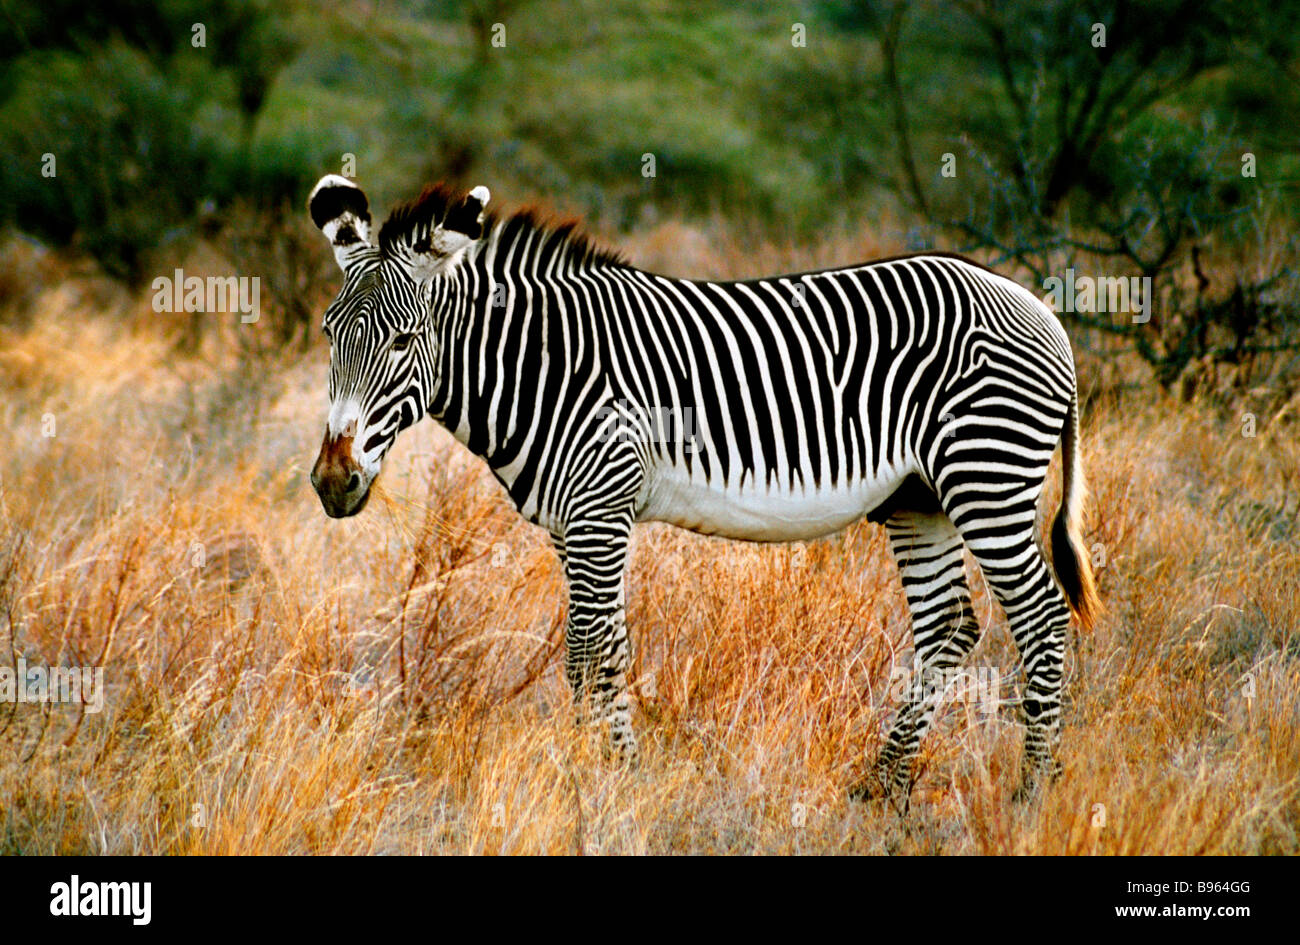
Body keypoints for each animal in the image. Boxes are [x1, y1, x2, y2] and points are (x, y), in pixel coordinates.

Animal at [304, 174, 1097, 800]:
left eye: (404, 340)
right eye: (328, 334)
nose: (334, 481)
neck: (544, 368)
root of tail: (1039, 306)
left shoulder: (601, 509)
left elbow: (588, 656)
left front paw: (596, 781)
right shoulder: (575, 523)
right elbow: (607, 650)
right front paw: (615, 771)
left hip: (987, 476)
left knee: (1040, 618)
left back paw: (1033, 788)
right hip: (919, 501)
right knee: (949, 628)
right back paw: (883, 786)